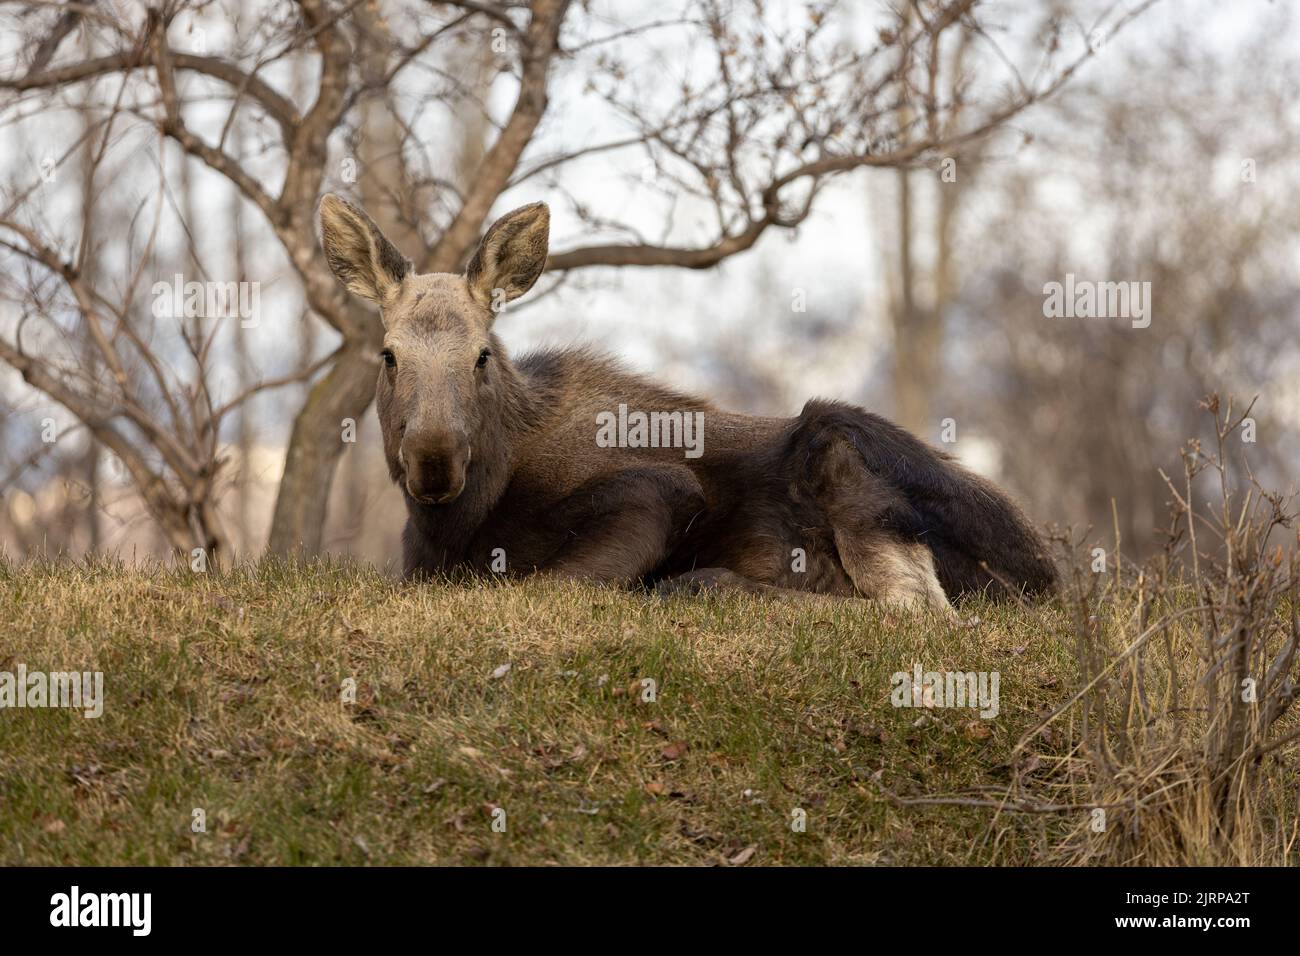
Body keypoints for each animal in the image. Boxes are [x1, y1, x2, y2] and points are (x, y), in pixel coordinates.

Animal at [318, 194, 1058, 612]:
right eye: (389, 356)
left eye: (481, 356)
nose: (433, 461)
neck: (461, 520)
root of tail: (1048, 576)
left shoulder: (661, 491)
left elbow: (546, 583)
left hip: (838, 441)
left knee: (919, 612)